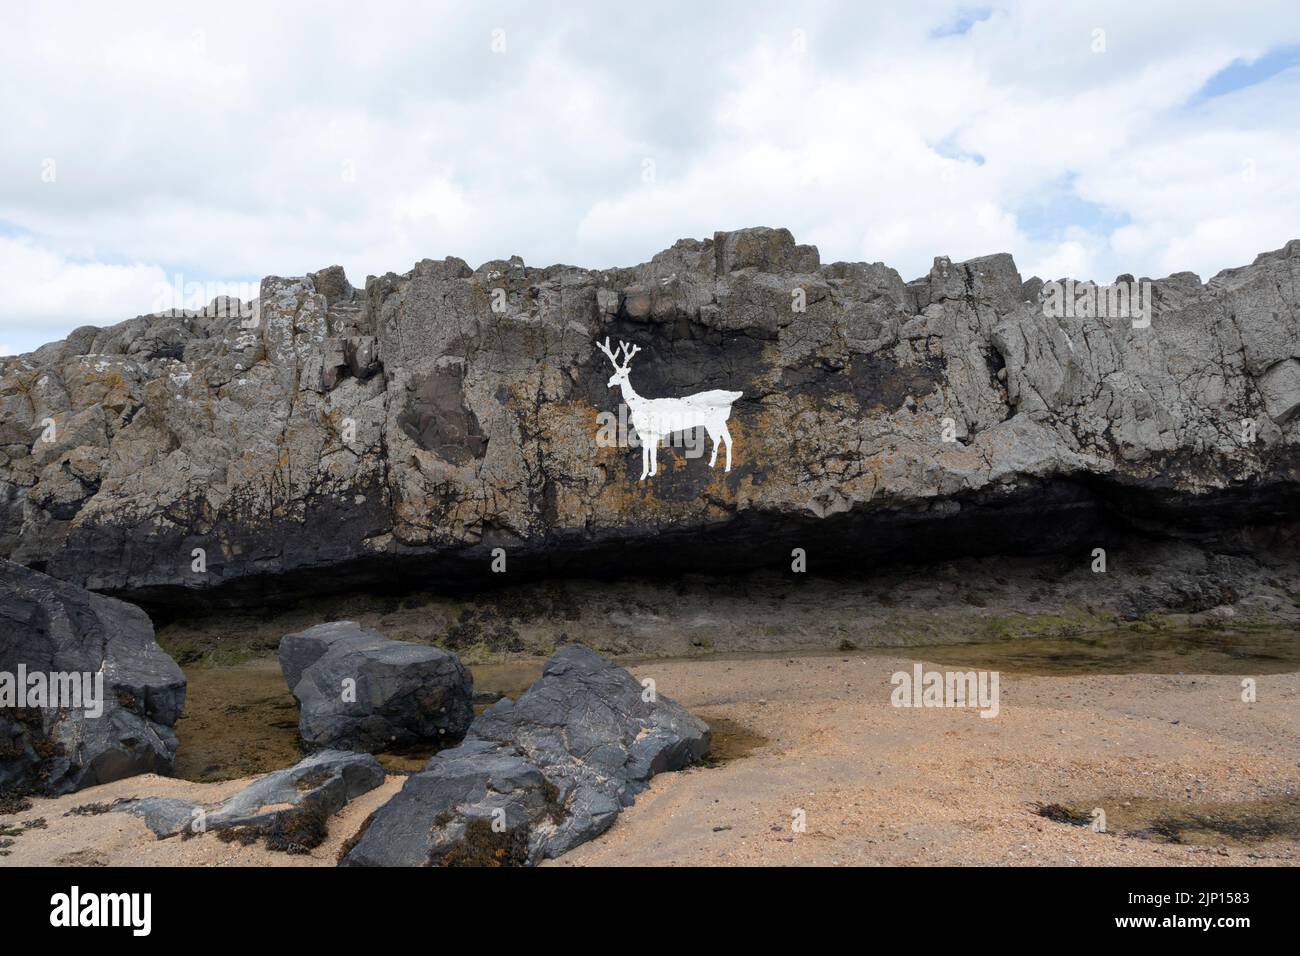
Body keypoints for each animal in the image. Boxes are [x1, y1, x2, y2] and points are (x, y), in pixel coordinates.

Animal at [597, 337, 742, 481]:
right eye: (615, 372)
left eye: (622, 375)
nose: (609, 382)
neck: (638, 405)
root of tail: (732, 396)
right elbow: (648, 452)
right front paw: (648, 473)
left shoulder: (652, 432)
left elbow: (649, 453)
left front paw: (647, 474)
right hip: (718, 422)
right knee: (724, 440)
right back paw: (719, 466)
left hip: (715, 421)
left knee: (722, 439)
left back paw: (721, 467)